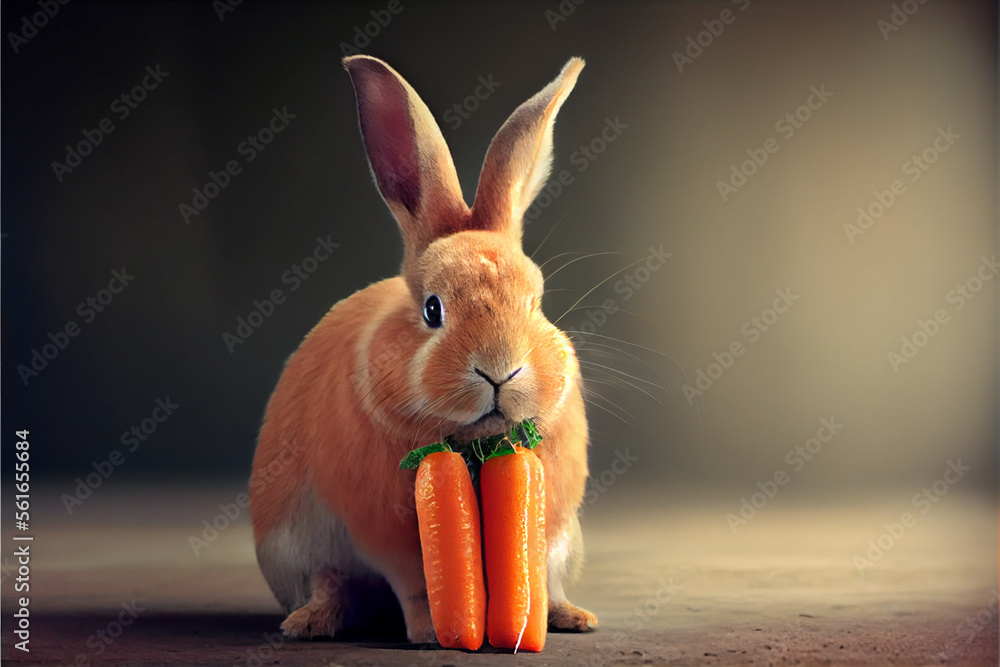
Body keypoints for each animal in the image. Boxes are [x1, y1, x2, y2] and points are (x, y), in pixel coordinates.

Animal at [249, 54, 597, 643]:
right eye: (433, 310)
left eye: (536, 301)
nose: (499, 371)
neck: (475, 441)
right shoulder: (386, 530)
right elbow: (416, 582)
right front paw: (435, 632)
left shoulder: (549, 521)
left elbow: (538, 569)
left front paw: (554, 617)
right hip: (295, 548)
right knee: (331, 584)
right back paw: (308, 623)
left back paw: (576, 617)